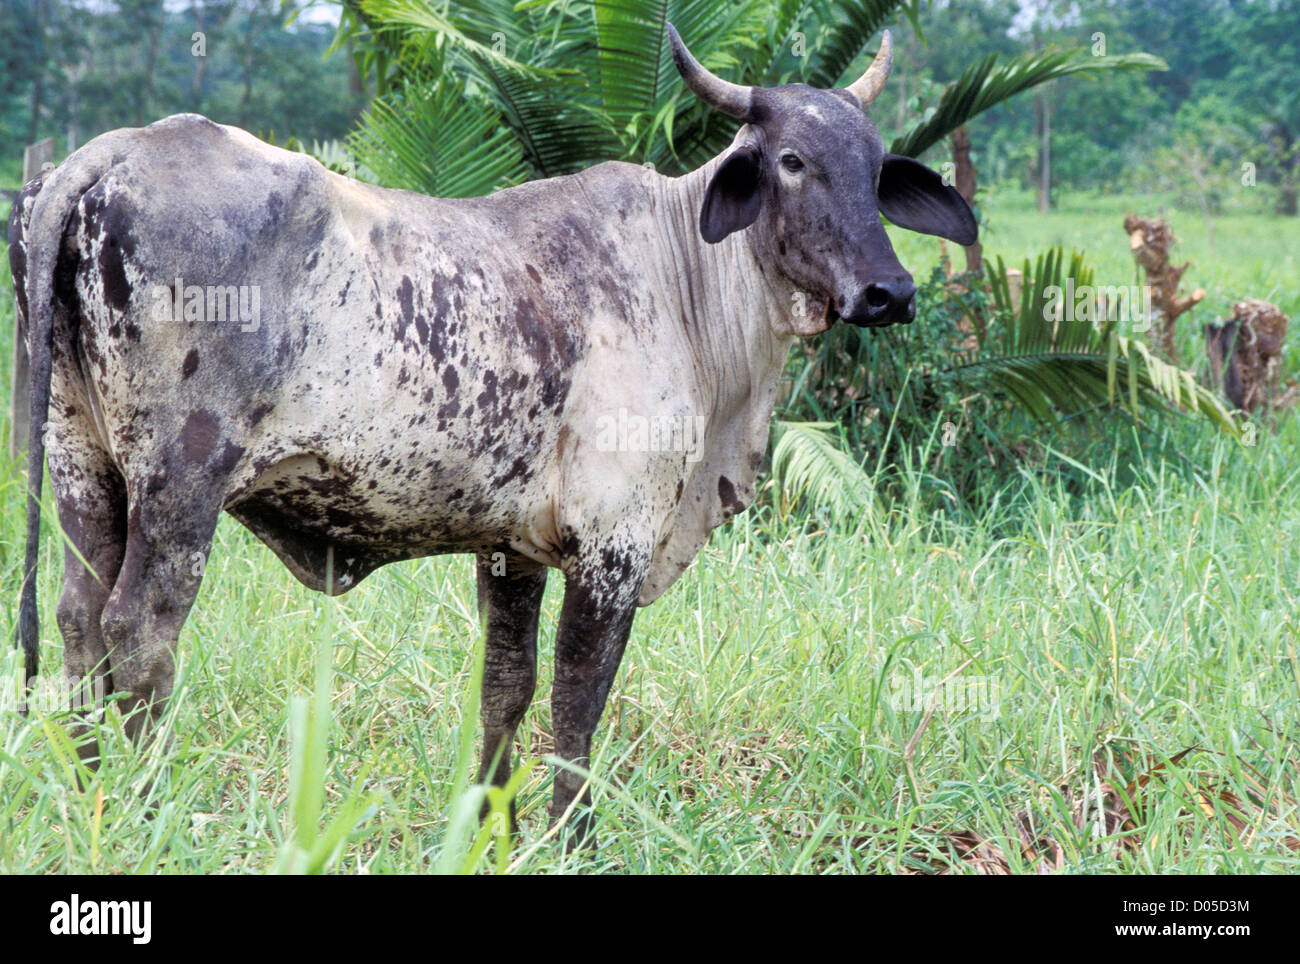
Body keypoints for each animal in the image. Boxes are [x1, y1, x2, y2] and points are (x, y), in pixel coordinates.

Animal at [12, 26, 975, 845]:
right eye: (792, 160)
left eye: (876, 165)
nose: (890, 291)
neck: (684, 279)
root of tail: (116, 149)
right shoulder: (613, 545)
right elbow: (579, 700)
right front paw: (571, 837)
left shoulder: (513, 551)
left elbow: (507, 688)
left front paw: (489, 827)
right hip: (180, 482)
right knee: (139, 632)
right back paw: (143, 812)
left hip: (83, 465)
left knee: (79, 618)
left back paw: (89, 799)